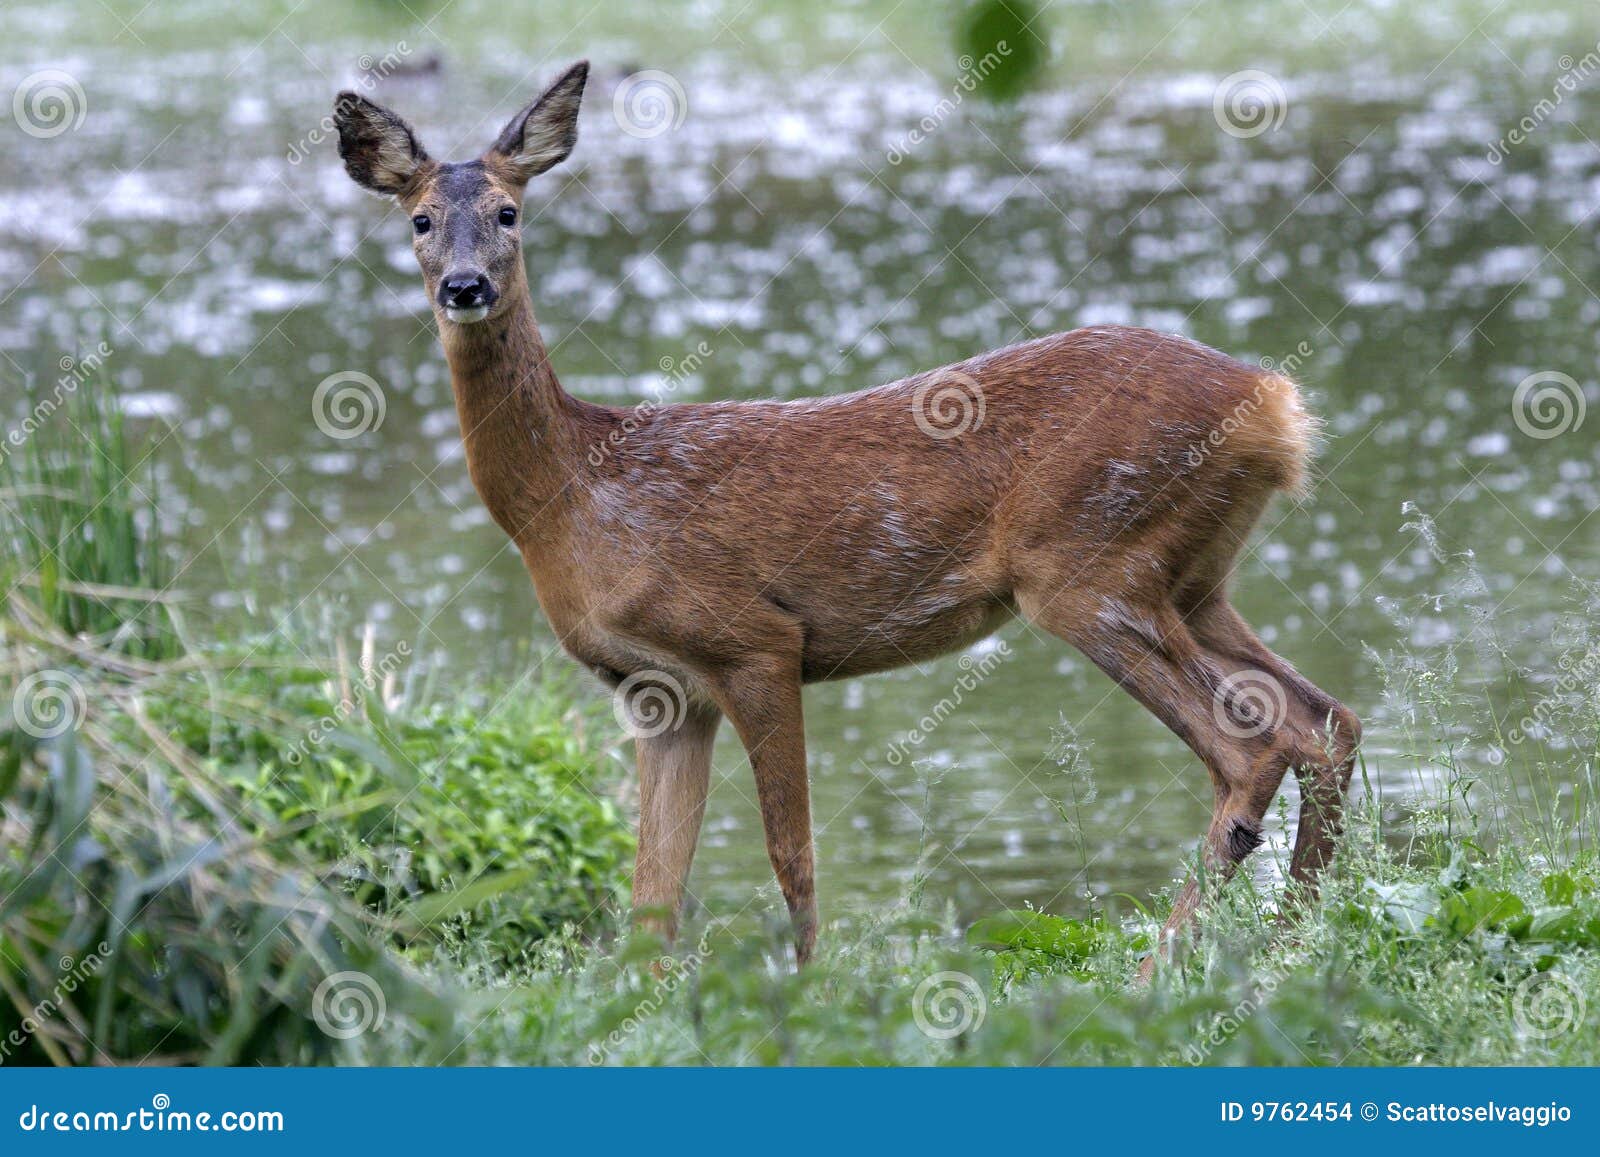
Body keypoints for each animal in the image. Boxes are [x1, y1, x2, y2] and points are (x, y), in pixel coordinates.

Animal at [332, 60, 1361, 977]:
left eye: (510, 212)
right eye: (420, 220)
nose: (465, 286)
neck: (576, 493)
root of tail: (1275, 405)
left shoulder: (753, 639)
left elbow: (792, 861)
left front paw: (813, 993)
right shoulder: (661, 693)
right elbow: (652, 896)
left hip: (1088, 563)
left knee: (1256, 746)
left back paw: (1162, 972)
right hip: (1192, 577)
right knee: (1324, 717)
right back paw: (1288, 948)